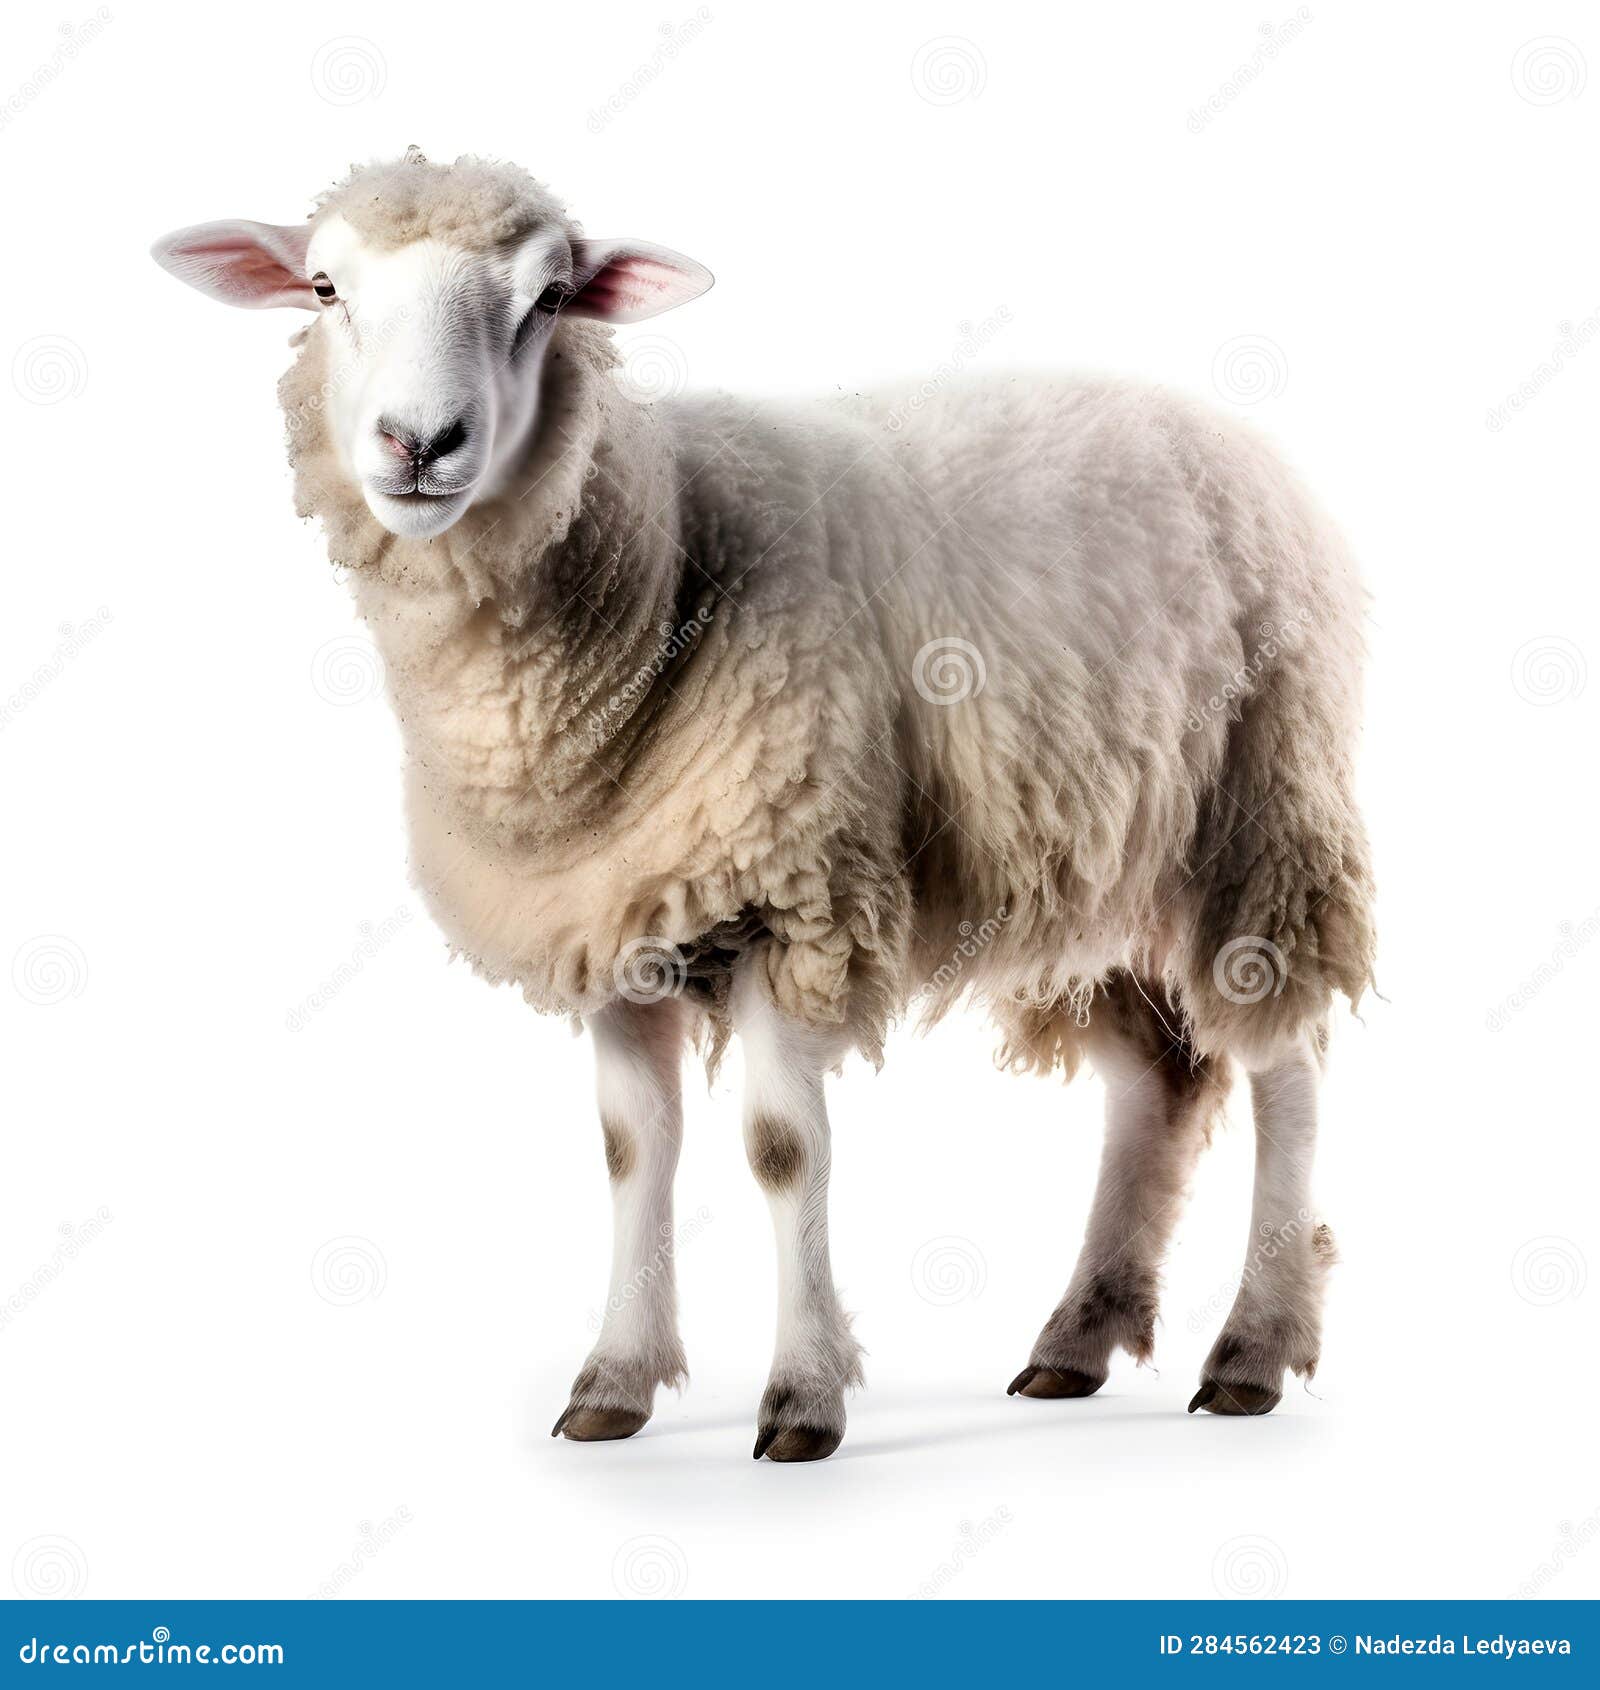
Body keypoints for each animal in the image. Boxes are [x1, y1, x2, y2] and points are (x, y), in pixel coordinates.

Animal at [151, 150, 1375, 1461]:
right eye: (325, 288)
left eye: (549, 297)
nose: (419, 442)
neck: (666, 557)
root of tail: (1224, 429)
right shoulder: (615, 915)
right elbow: (631, 1151)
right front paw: (615, 1380)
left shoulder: (800, 891)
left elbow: (782, 1152)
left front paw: (802, 1396)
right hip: (1096, 859)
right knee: (1158, 1084)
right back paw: (1077, 1337)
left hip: (1263, 811)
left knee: (1284, 1068)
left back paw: (1251, 1346)